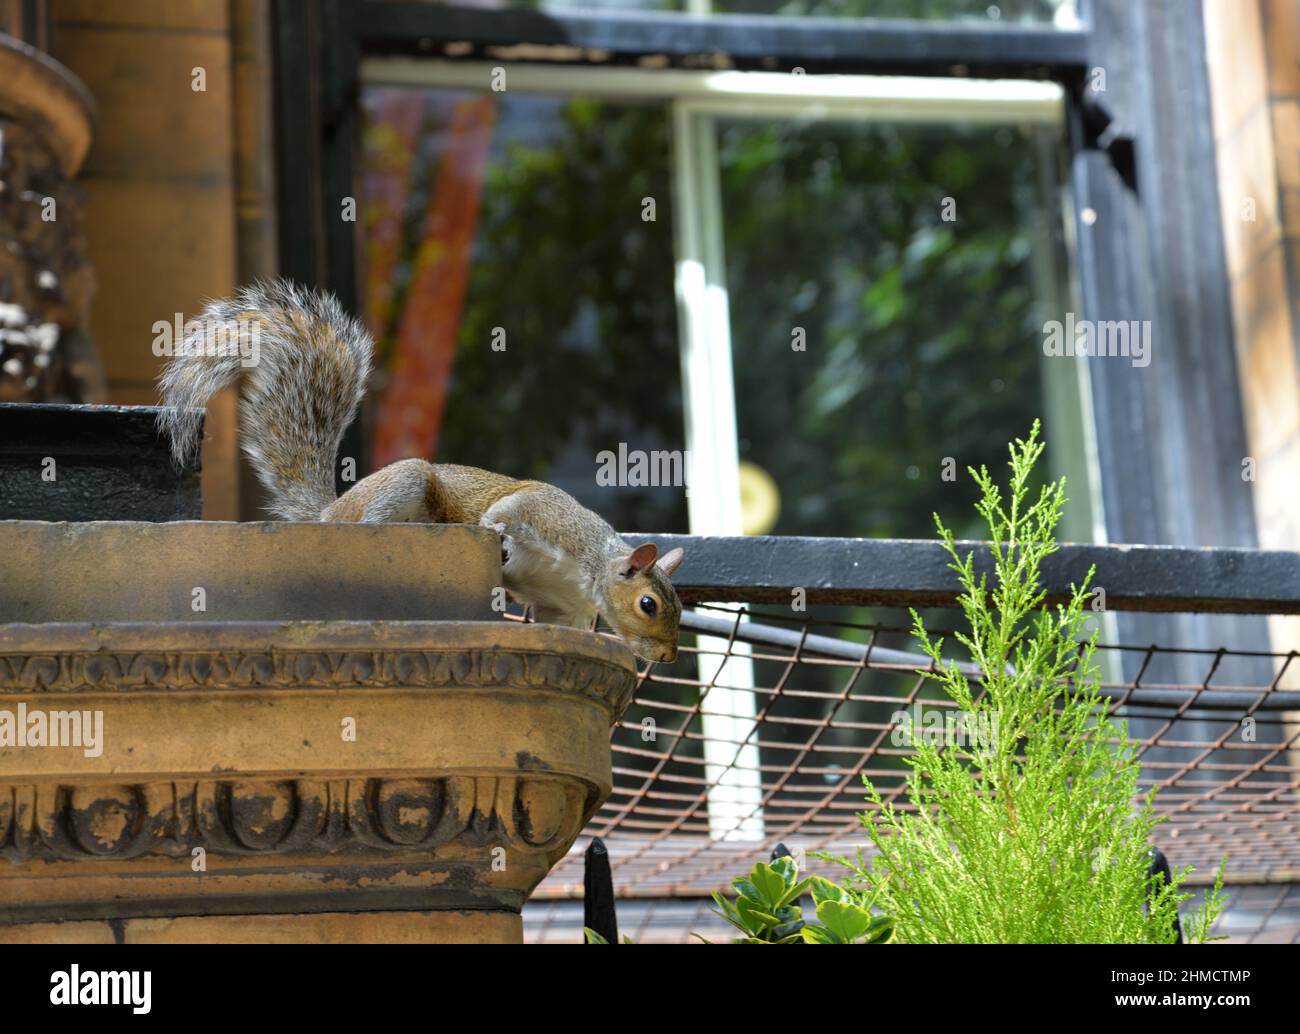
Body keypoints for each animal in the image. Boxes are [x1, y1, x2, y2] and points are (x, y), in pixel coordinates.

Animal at [156, 279, 684, 663]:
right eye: (649, 604)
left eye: (676, 608)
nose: (667, 658)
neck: (585, 571)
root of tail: (331, 512)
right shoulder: (548, 513)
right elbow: (507, 508)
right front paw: (495, 529)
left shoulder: (563, 610)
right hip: (407, 480)